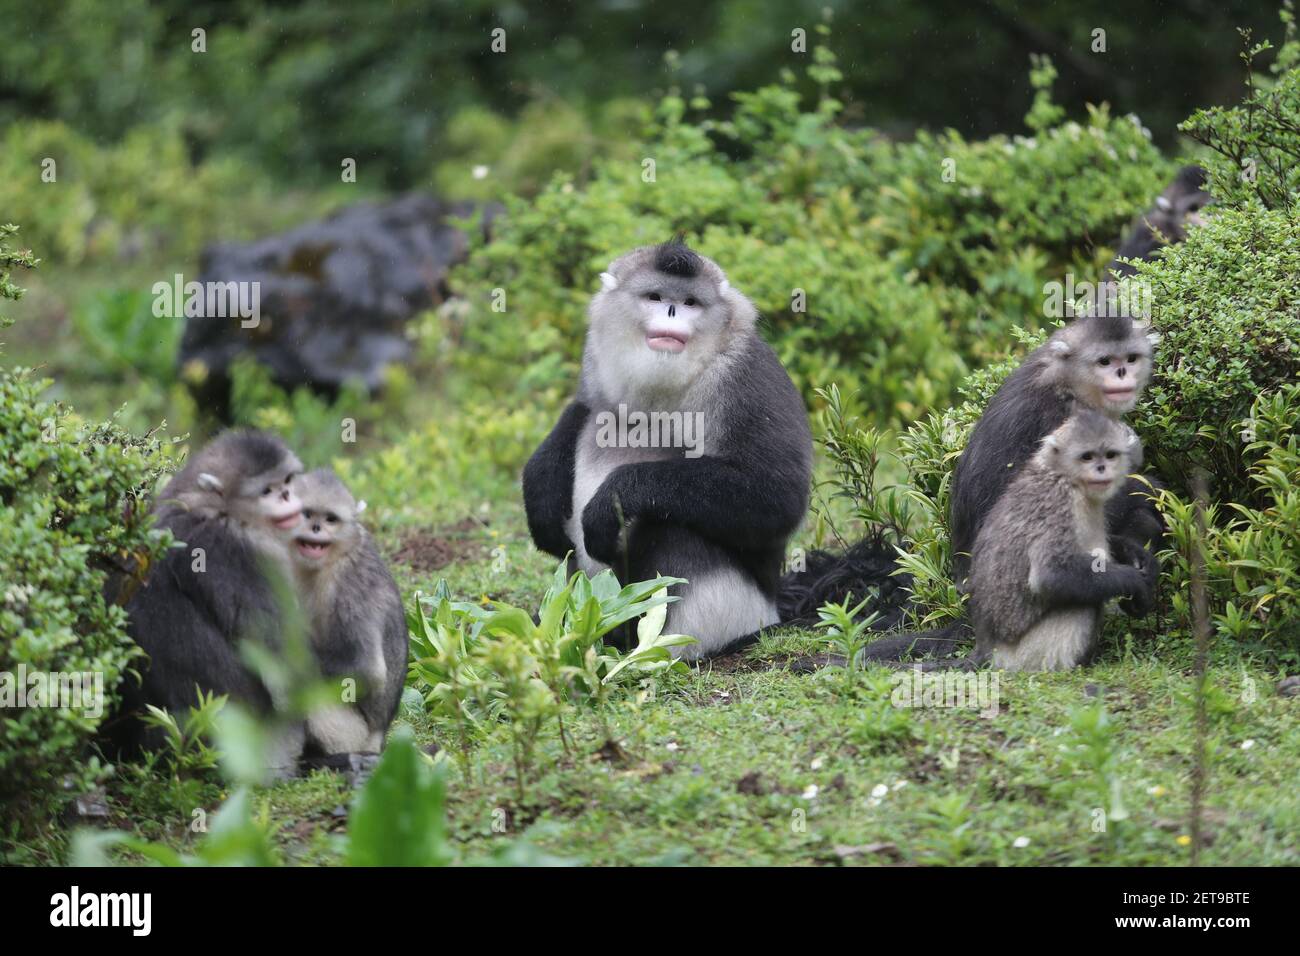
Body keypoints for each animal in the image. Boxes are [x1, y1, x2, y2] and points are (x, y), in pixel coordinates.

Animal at [110, 430, 308, 771]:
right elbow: (270, 646)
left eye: (286, 481)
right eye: (267, 491)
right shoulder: (228, 551)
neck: (215, 509)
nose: (286, 496)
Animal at [288, 469, 407, 757]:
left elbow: (368, 671)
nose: (315, 528)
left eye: (330, 519)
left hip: (353, 734)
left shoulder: (352, 590)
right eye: (307, 514)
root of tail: (379, 736)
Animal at [523, 237, 812, 660]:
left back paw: (643, 650)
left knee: (673, 525)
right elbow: (584, 407)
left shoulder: (745, 375)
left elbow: (779, 496)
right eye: (656, 297)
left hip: (739, 612)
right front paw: (540, 490)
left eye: (690, 302)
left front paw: (612, 499)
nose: (673, 311)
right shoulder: (596, 359)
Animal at [968, 410, 1151, 671]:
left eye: (1110, 455)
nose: (1102, 468)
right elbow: (1050, 574)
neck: (1060, 474)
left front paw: (1136, 554)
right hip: (1027, 656)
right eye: (1087, 457)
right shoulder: (1061, 504)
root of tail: (988, 652)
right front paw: (1134, 581)